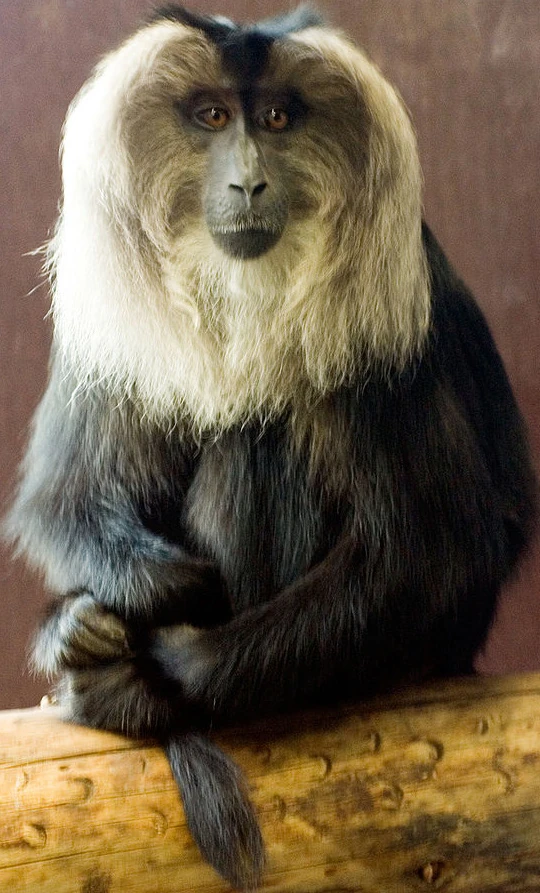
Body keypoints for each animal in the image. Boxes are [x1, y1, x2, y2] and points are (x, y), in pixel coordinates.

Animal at [7, 4, 537, 890]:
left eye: (280, 119)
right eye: (214, 117)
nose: (249, 183)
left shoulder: (386, 311)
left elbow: (432, 552)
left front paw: (165, 662)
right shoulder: (109, 319)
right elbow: (65, 499)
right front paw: (96, 616)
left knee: (259, 444)